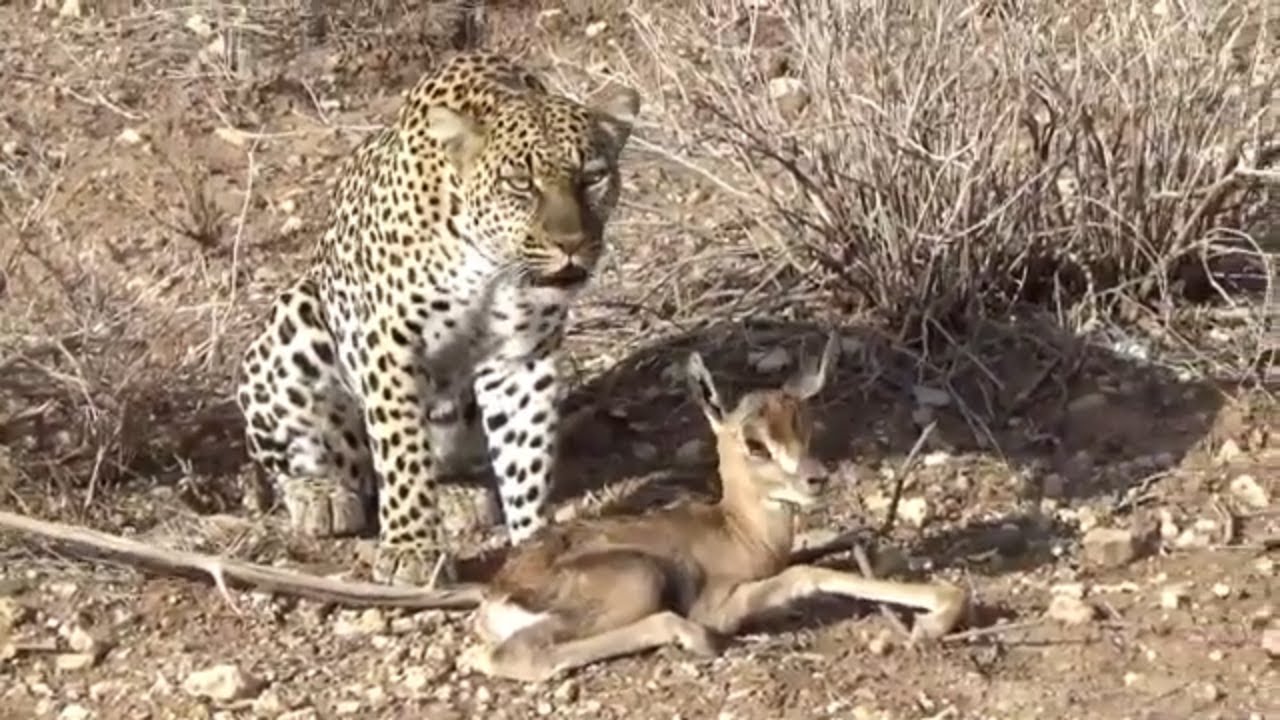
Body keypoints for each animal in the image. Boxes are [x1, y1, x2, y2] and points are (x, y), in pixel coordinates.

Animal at [235, 51, 640, 587]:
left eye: (592, 178)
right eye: (520, 183)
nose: (570, 244)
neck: (490, 261)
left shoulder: (520, 356)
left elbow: (524, 455)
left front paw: (536, 541)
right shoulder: (385, 341)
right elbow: (402, 451)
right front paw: (411, 549)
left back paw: (458, 494)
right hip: (297, 319)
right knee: (312, 462)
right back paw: (321, 494)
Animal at [459, 332, 969, 682]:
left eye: (804, 425)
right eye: (755, 444)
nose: (815, 478)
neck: (739, 532)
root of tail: (499, 592)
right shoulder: (727, 600)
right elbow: (807, 574)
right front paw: (933, 619)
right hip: (638, 579)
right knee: (508, 655)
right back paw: (693, 637)